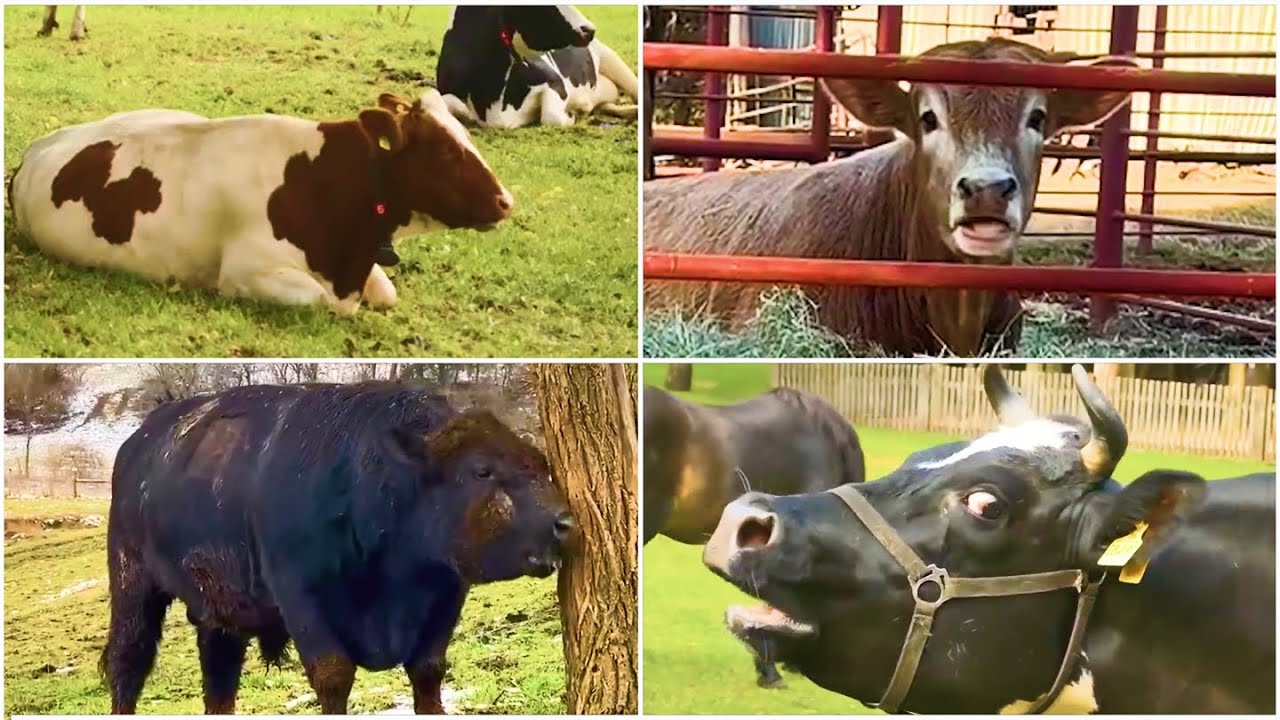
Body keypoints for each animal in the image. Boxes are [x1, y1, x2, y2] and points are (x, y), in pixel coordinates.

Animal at [8, 90, 512, 314]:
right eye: (445, 150)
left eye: (466, 135)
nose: (506, 201)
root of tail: (38, 147)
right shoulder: (244, 272)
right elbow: (314, 298)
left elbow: (387, 292)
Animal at [101, 381, 573, 714]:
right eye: (481, 470)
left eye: (542, 463)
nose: (564, 523)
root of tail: (139, 441)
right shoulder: (301, 597)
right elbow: (333, 675)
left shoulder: (445, 594)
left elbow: (427, 672)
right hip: (132, 586)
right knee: (129, 664)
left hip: (219, 613)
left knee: (219, 681)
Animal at [438, 6, 640, 128]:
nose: (589, 29)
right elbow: (449, 101)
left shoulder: (553, 80)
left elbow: (551, 117)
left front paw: (571, 115)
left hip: (612, 59)